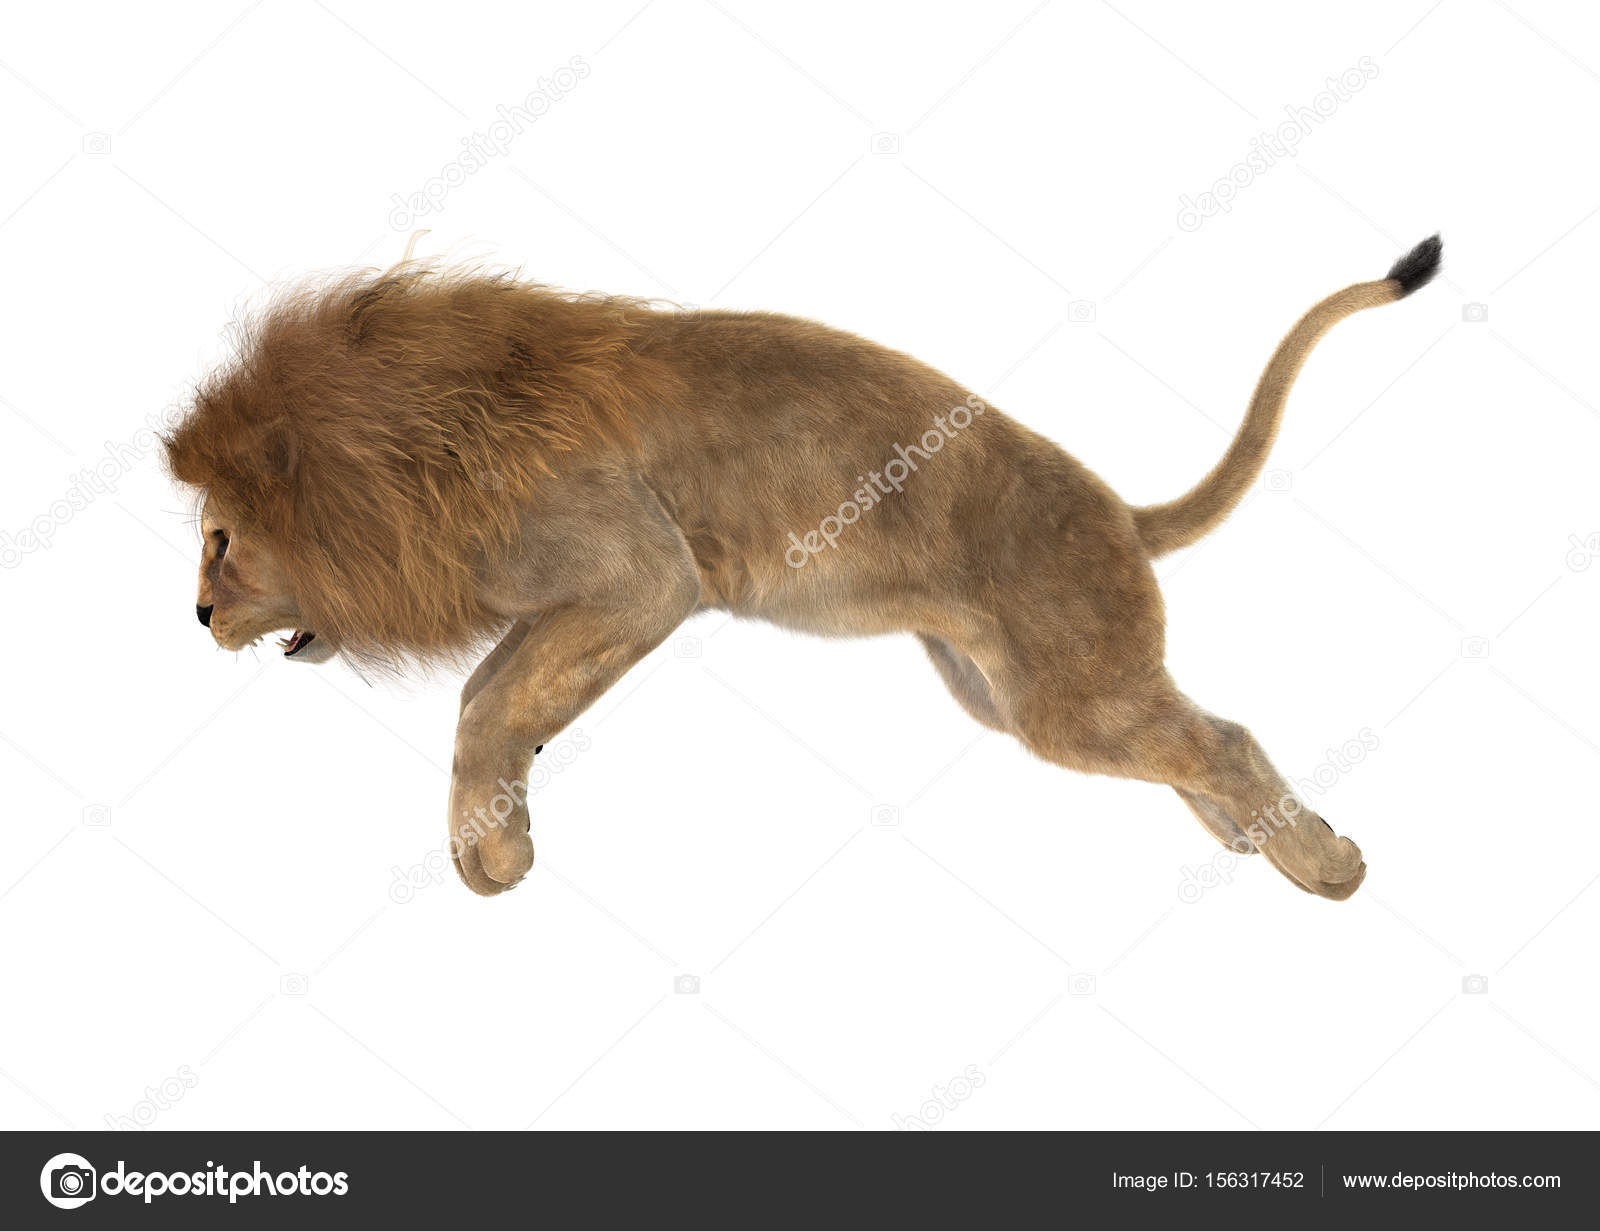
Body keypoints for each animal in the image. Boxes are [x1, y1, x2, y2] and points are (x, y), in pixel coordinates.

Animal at [165, 235, 1443, 900]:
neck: (421, 444)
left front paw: (491, 853)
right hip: (1003, 690)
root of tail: (1121, 514)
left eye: (221, 539)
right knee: (1195, 737)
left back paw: (1325, 865)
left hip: (1064, 695)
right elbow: (492, 695)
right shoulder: (570, 601)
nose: (195, 615)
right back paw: (1258, 842)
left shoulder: (641, 576)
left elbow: (486, 705)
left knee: (1216, 737)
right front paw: (498, 825)